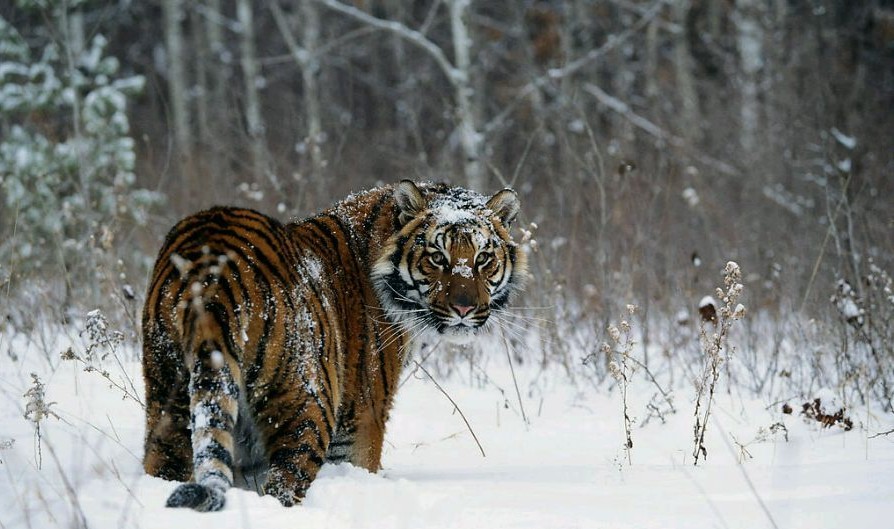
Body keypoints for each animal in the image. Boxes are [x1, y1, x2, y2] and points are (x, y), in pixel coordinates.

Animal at [141, 180, 525, 511]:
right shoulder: (362, 417)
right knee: (284, 485)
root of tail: (212, 271)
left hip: (168, 397)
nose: (464, 309)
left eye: (482, 258)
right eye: (437, 258)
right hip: (308, 405)